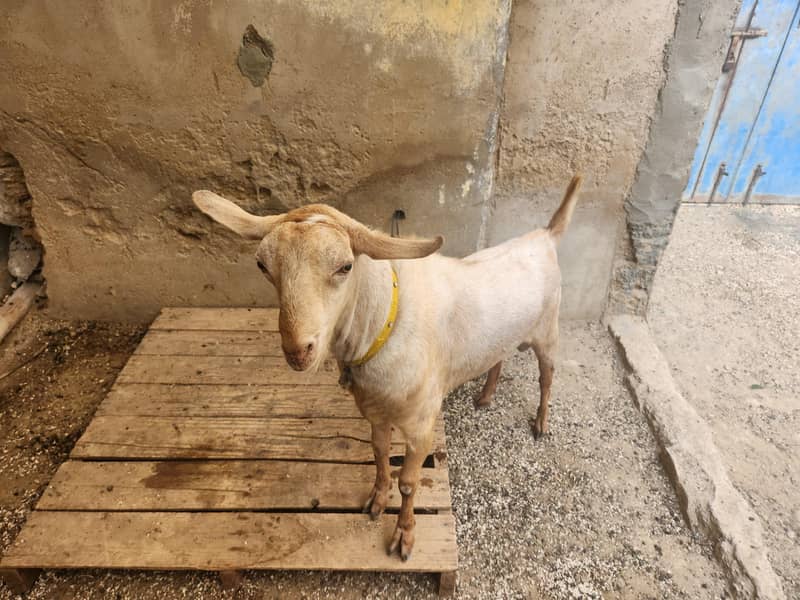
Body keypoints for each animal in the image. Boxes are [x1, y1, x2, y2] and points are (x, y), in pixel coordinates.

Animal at [193, 174, 582, 560]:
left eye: (345, 266)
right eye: (263, 266)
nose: (298, 351)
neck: (381, 321)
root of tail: (545, 236)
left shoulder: (421, 424)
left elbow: (408, 483)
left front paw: (404, 535)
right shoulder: (375, 411)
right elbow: (379, 455)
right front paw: (377, 500)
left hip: (549, 331)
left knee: (547, 376)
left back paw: (541, 423)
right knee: (497, 357)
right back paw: (485, 397)